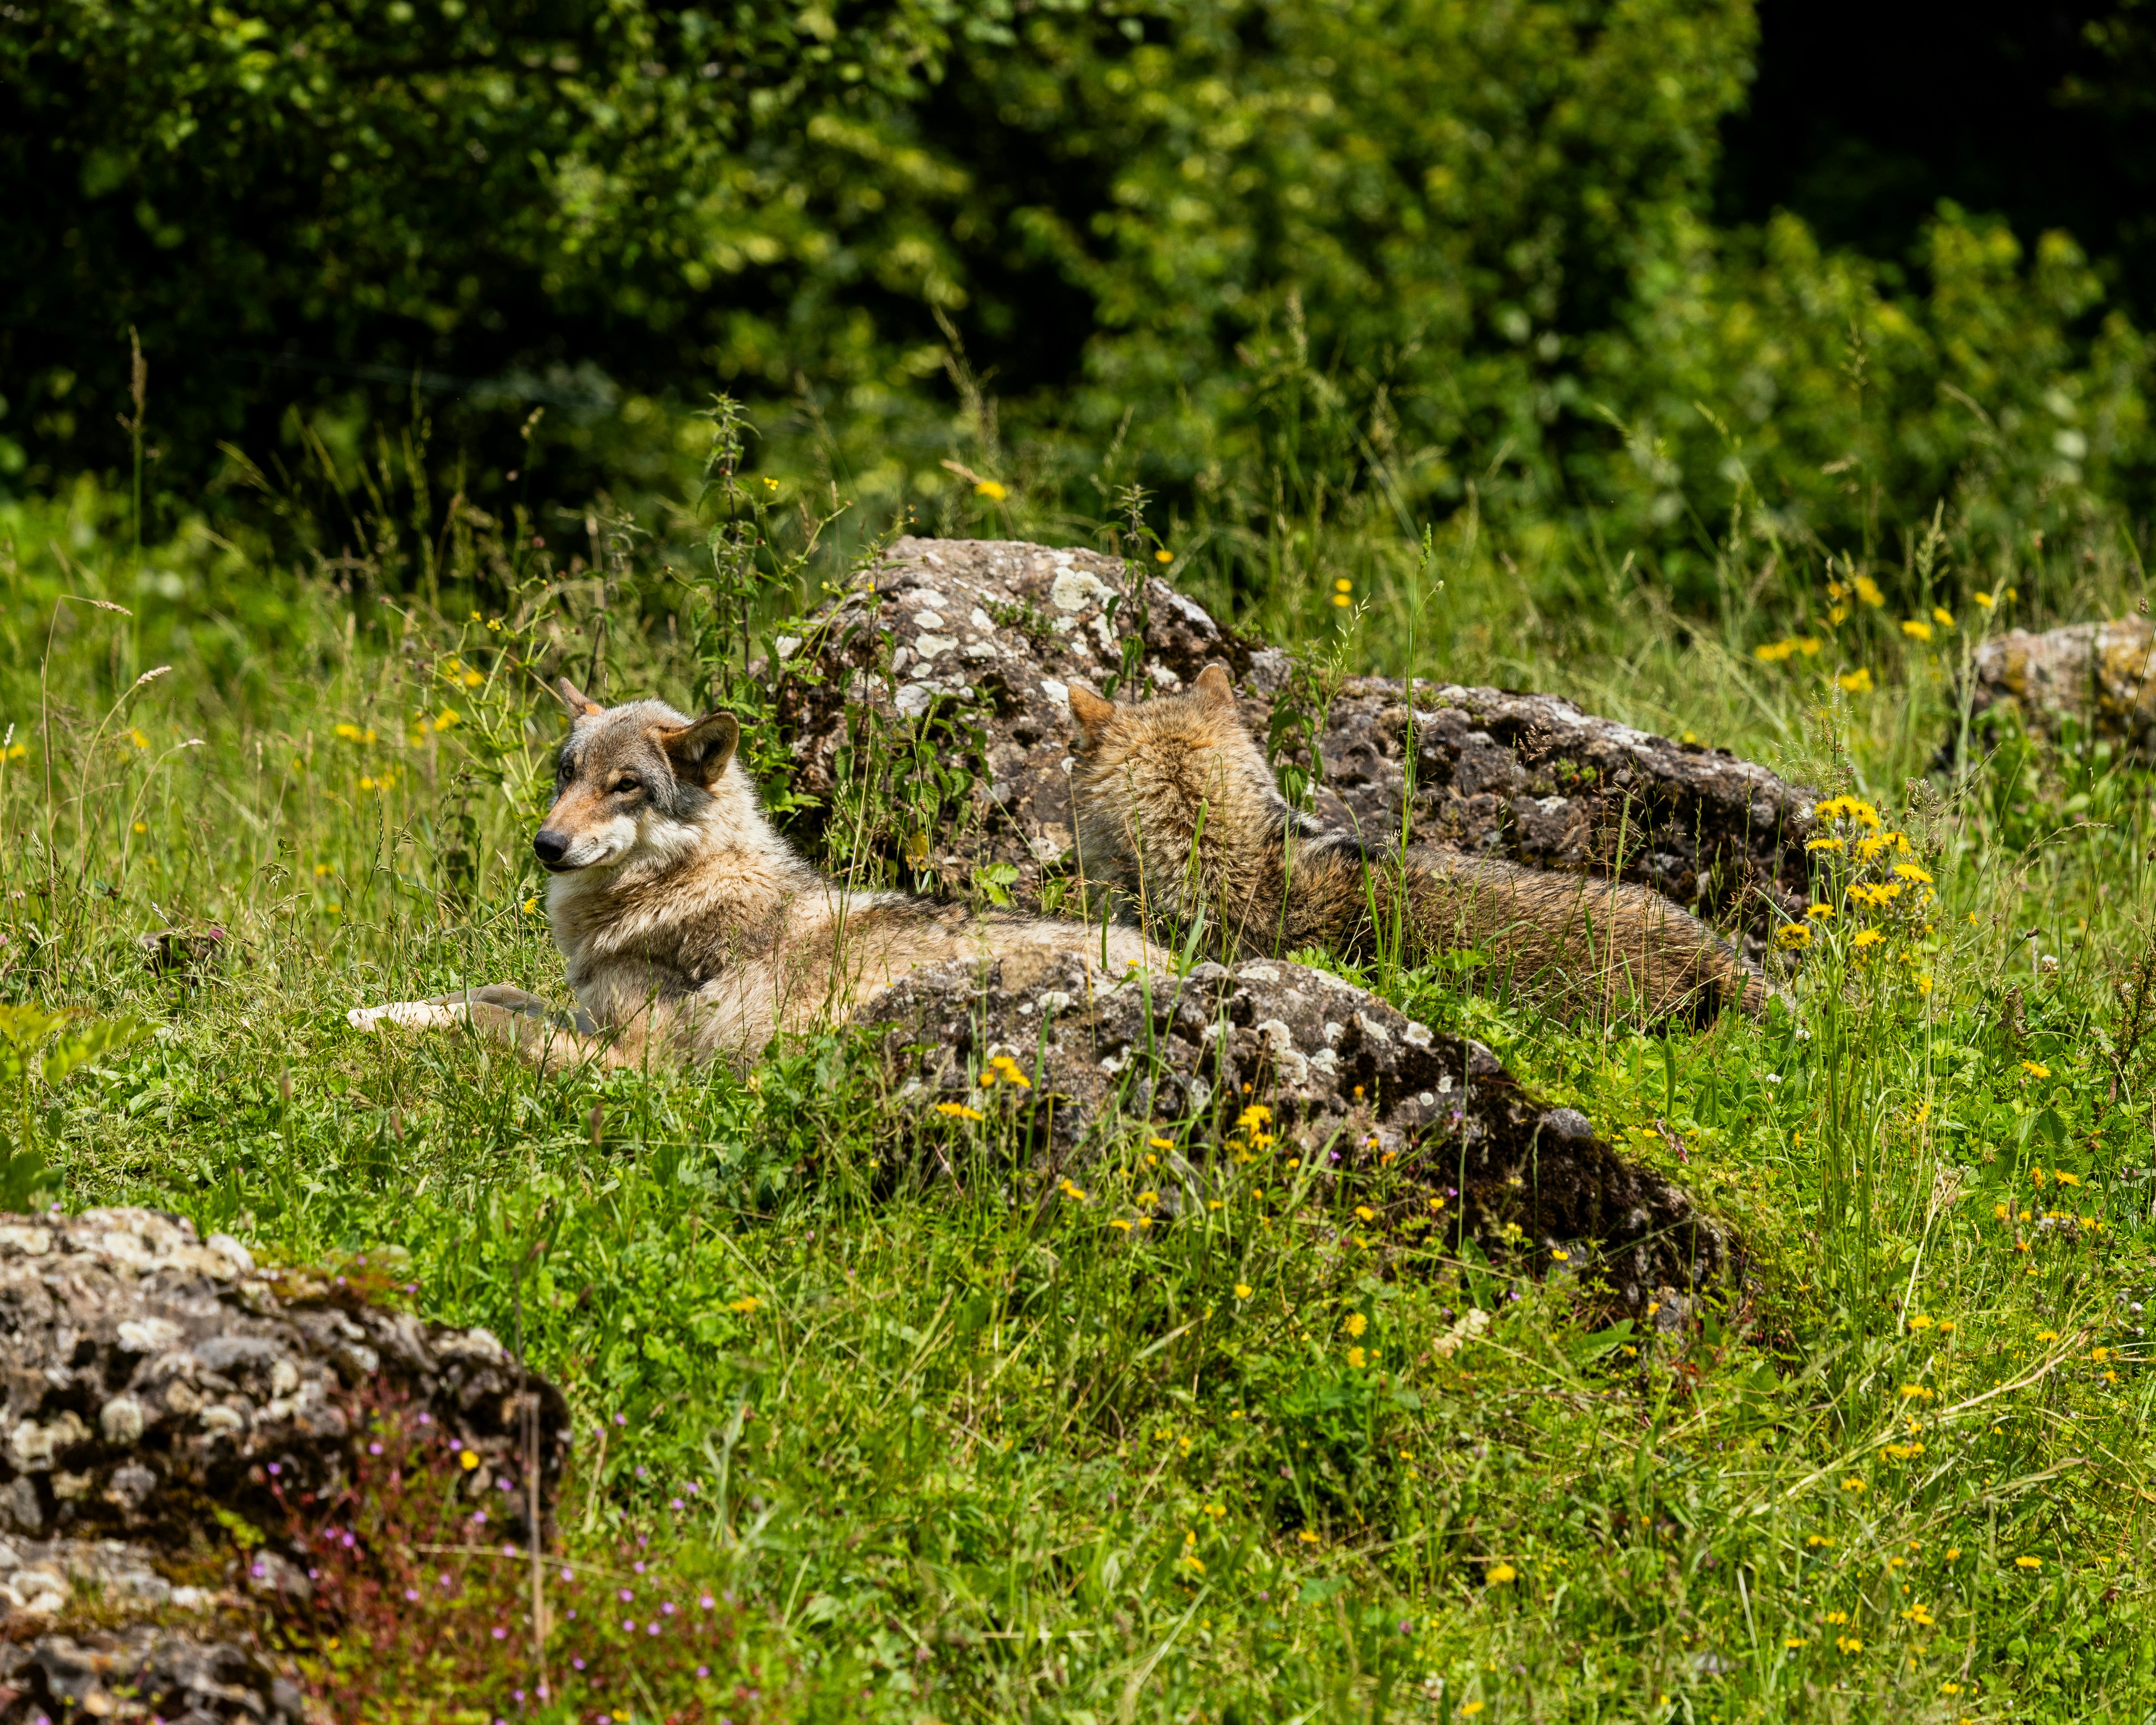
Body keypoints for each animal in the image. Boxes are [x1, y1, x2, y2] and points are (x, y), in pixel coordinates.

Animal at [349, 680, 1163, 1068]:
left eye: (625, 786)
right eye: (567, 774)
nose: (546, 845)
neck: (674, 885)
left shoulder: (638, 1066)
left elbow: (490, 1018)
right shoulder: (584, 1013)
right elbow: (486, 991)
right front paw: (372, 1013)